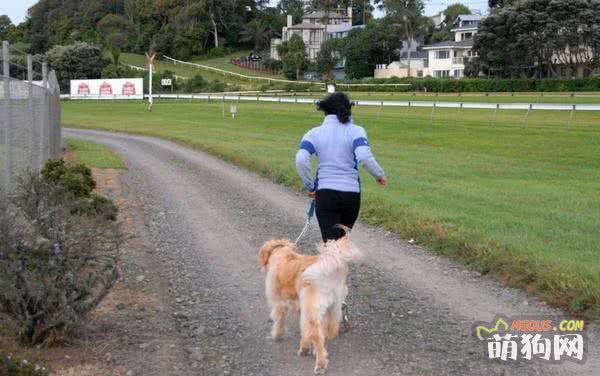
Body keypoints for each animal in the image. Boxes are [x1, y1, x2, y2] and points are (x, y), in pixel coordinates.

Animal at [256, 231, 360, 374]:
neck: (282, 254)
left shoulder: (280, 304)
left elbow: (279, 321)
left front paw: (277, 334)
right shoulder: (303, 309)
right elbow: (304, 330)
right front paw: (305, 347)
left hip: (312, 311)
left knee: (317, 336)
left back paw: (320, 364)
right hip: (331, 310)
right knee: (324, 333)